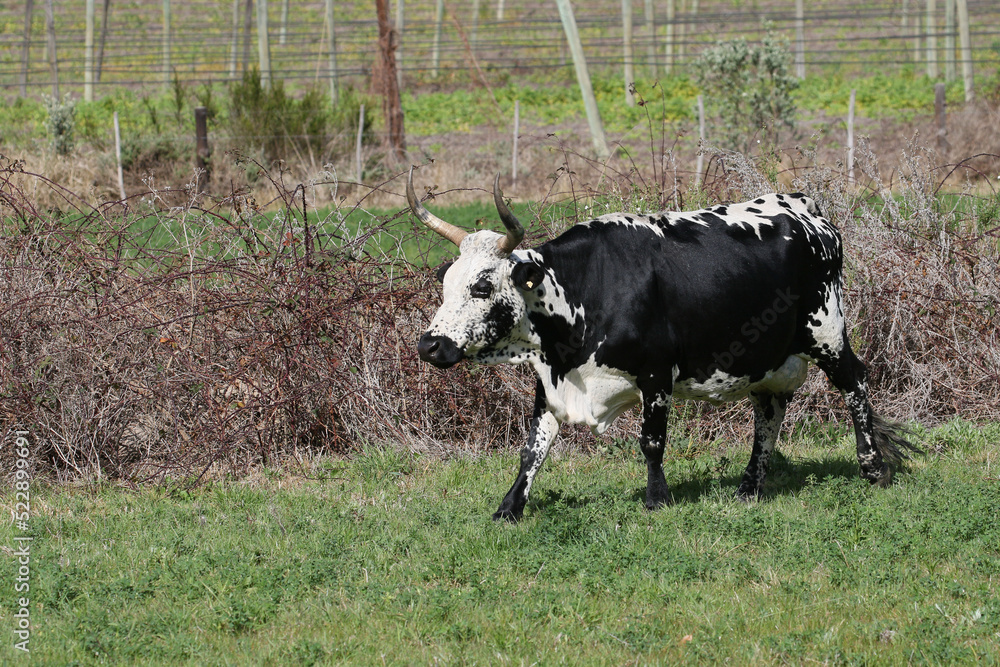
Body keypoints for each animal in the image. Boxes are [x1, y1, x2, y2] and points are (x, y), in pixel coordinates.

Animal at [408, 168, 919, 522]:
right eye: (445, 284)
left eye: (481, 287)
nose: (429, 345)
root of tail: (804, 207)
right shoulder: (549, 383)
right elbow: (533, 449)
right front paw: (509, 507)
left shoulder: (656, 374)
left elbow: (651, 442)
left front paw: (657, 499)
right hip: (771, 360)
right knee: (770, 411)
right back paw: (750, 487)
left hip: (826, 332)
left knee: (855, 383)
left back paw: (872, 467)